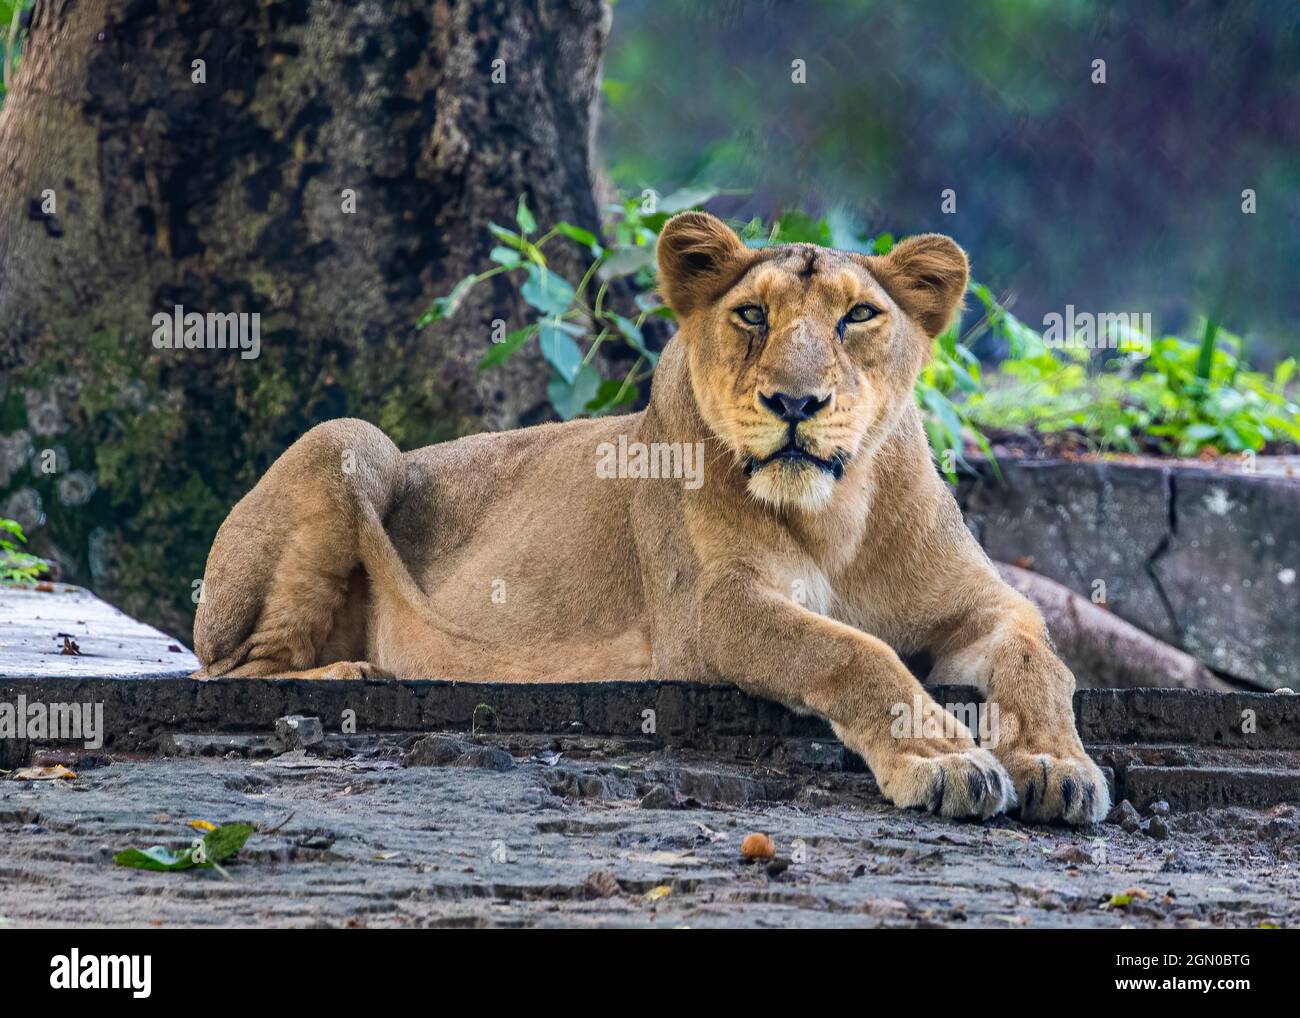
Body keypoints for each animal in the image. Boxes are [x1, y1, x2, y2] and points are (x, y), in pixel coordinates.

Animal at [193, 211, 1109, 825]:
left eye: (859, 316)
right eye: (752, 315)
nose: (795, 403)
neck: (835, 517)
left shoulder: (986, 604)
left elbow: (1040, 662)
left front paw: (1060, 767)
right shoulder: (709, 613)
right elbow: (853, 652)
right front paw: (947, 760)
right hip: (352, 438)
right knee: (232, 672)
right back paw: (357, 676)